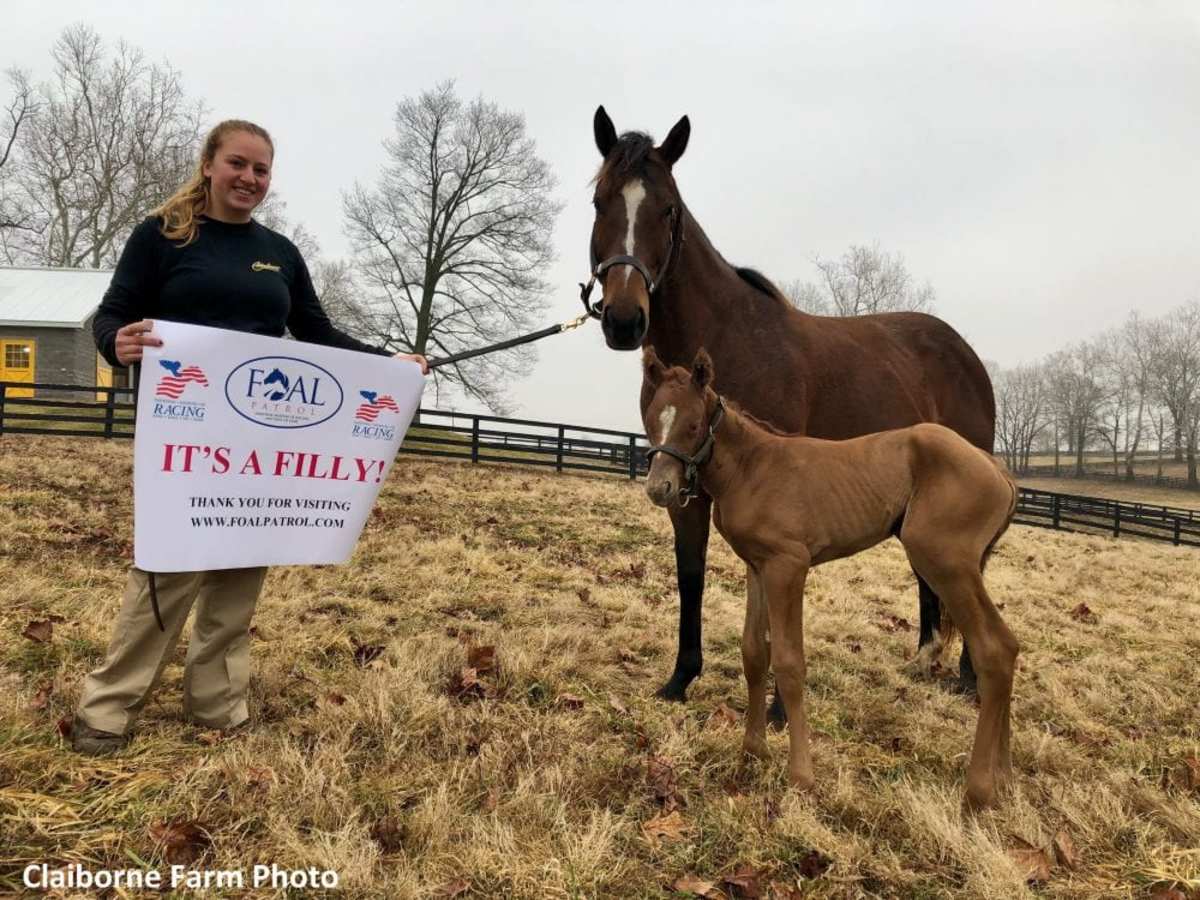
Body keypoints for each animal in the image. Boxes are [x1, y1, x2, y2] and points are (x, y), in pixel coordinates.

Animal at [586, 106, 996, 706]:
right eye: (600, 202)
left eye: (668, 209)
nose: (622, 319)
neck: (726, 335)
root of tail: (966, 355)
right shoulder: (684, 485)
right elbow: (692, 574)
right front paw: (681, 679)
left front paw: (779, 704)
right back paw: (925, 658)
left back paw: (970, 678)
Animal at [641, 347, 1018, 808]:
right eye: (651, 418)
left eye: (693, 425)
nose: (660, 488)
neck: (752, 467)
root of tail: (997, 468)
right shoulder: (757, 566)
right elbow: (754, 653)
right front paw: (752, 750)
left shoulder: (789, 566)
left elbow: (789, 662)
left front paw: (800, 776)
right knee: (1008, 646)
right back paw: (1004, 776)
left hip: (947, 564)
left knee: (993, 649)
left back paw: (979, 789)